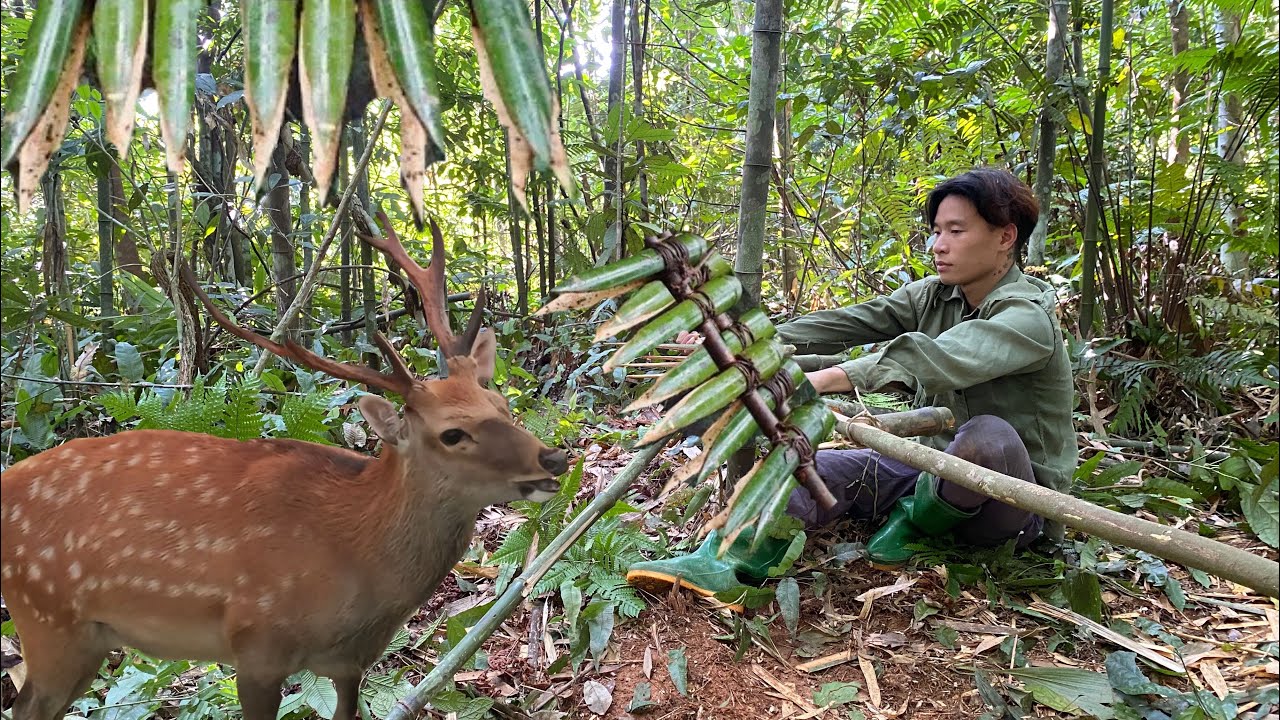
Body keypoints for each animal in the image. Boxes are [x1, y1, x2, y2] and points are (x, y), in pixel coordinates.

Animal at [0, 216, 570, 720]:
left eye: (502, 405)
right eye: (452, 433)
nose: (555, 457)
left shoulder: (350, 662)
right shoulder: (256, 643)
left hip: (86, 638)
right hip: (47, 615)